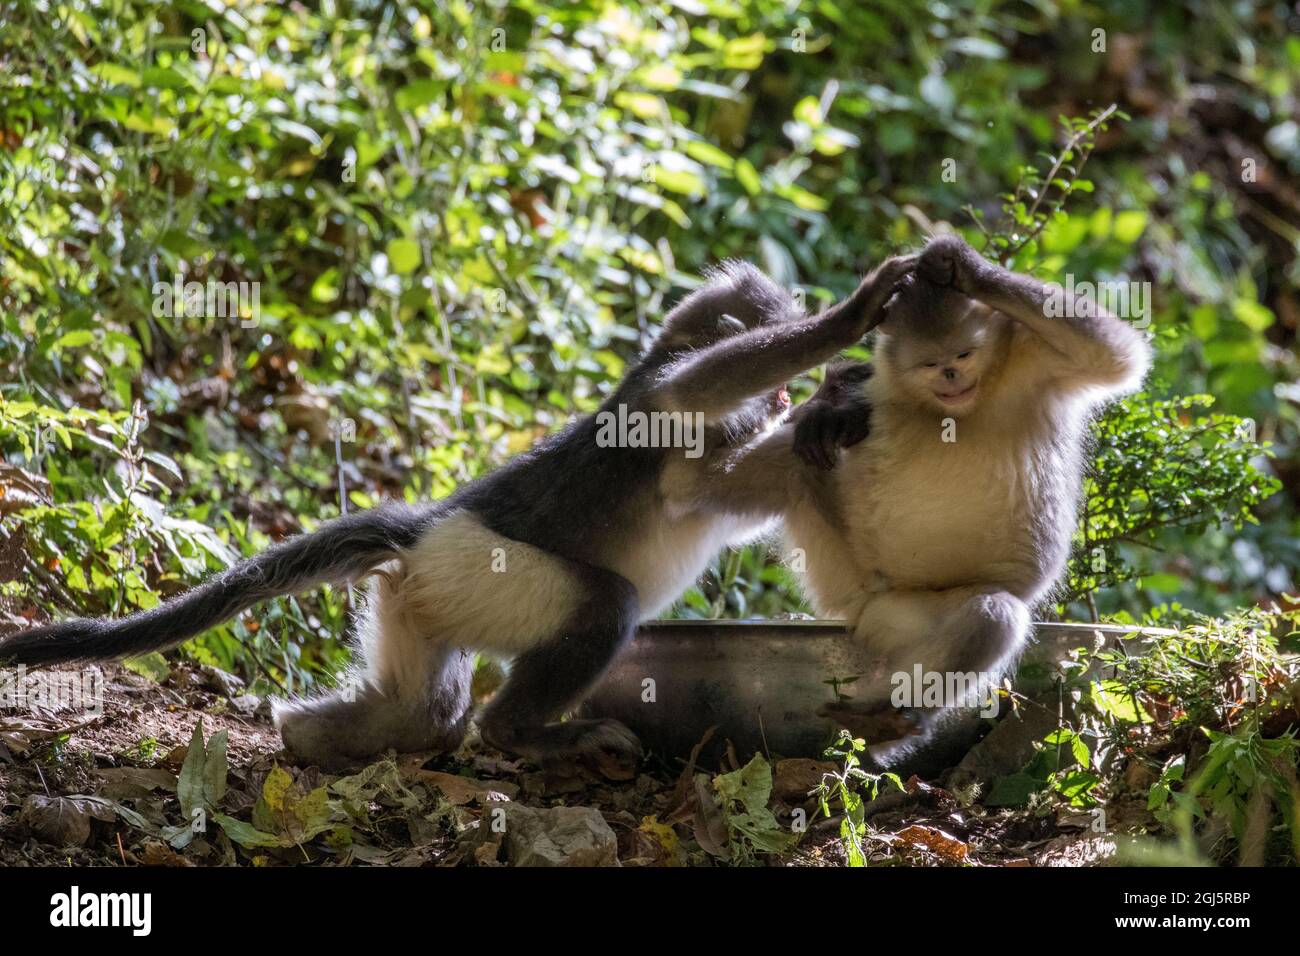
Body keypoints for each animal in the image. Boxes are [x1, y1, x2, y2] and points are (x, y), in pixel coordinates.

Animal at [0, 256, 916, 770]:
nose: (787, 396)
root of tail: (426, 528)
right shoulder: (661, 401)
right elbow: (701, 388)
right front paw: (850, 318)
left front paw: (835, 407)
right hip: (484, 570)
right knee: (602, 604)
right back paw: (516, 733)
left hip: (421, 594)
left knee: (420, 714)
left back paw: (313, 738)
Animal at [691, 234, 1153, 759]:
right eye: (931, 363)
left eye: (964, 355)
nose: (950, 375)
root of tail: (868, 604)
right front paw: (830, 405)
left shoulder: (1036, 361)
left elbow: (1113, 357)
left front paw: (961, 266)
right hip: (852, 581)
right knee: (780, 467)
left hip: (899, 616)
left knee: (991, 615)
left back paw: (888, 722)